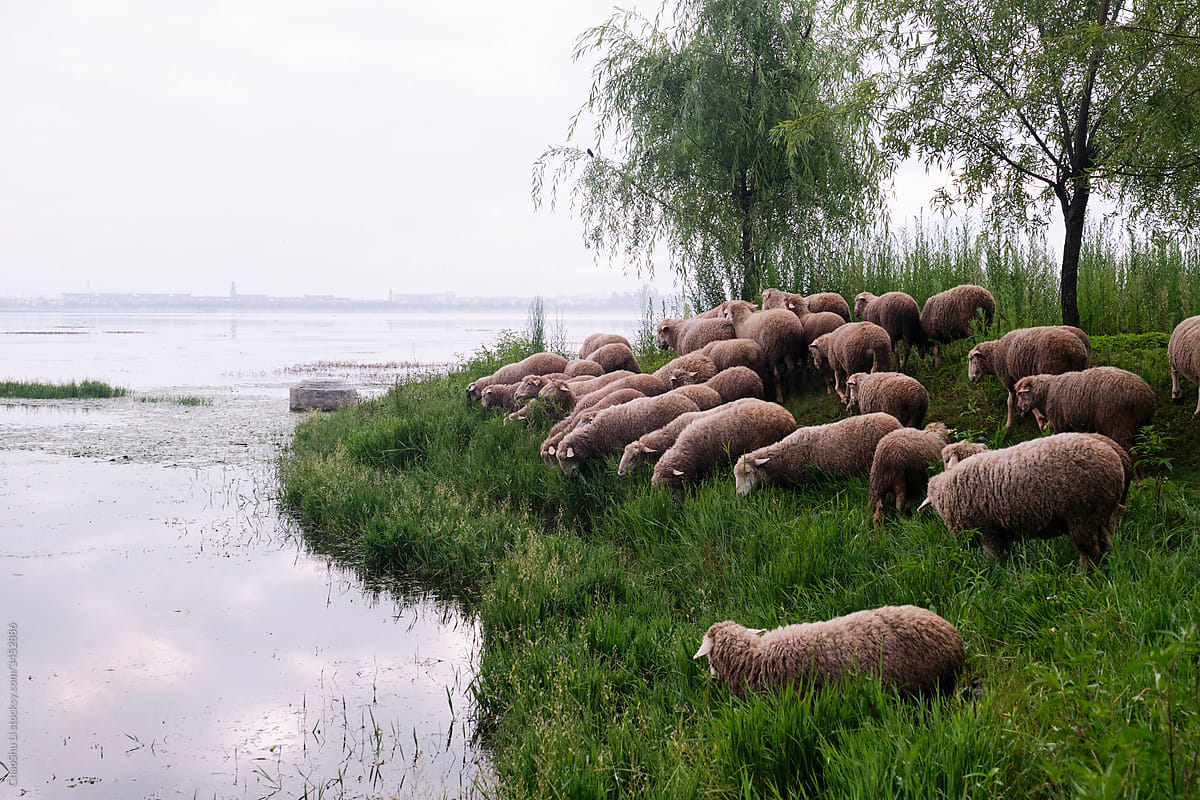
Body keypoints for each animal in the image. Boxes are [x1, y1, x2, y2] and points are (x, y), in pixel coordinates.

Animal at [921, 433, 1126, 572]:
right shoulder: (1000, 533)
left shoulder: (987, 531)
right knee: (1106, 546)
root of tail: (1114, 462)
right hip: (1105, 515)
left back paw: (1082, 577)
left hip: (1082, 516)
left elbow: (993, 560)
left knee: (1090, 553)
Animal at [1013, 367, 1155, 452]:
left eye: (1020, 394)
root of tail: (1142, 396)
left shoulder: (1060, 423)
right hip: (1142, 425)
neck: (1048, 391)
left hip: (1118, 423)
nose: (1018, 410)